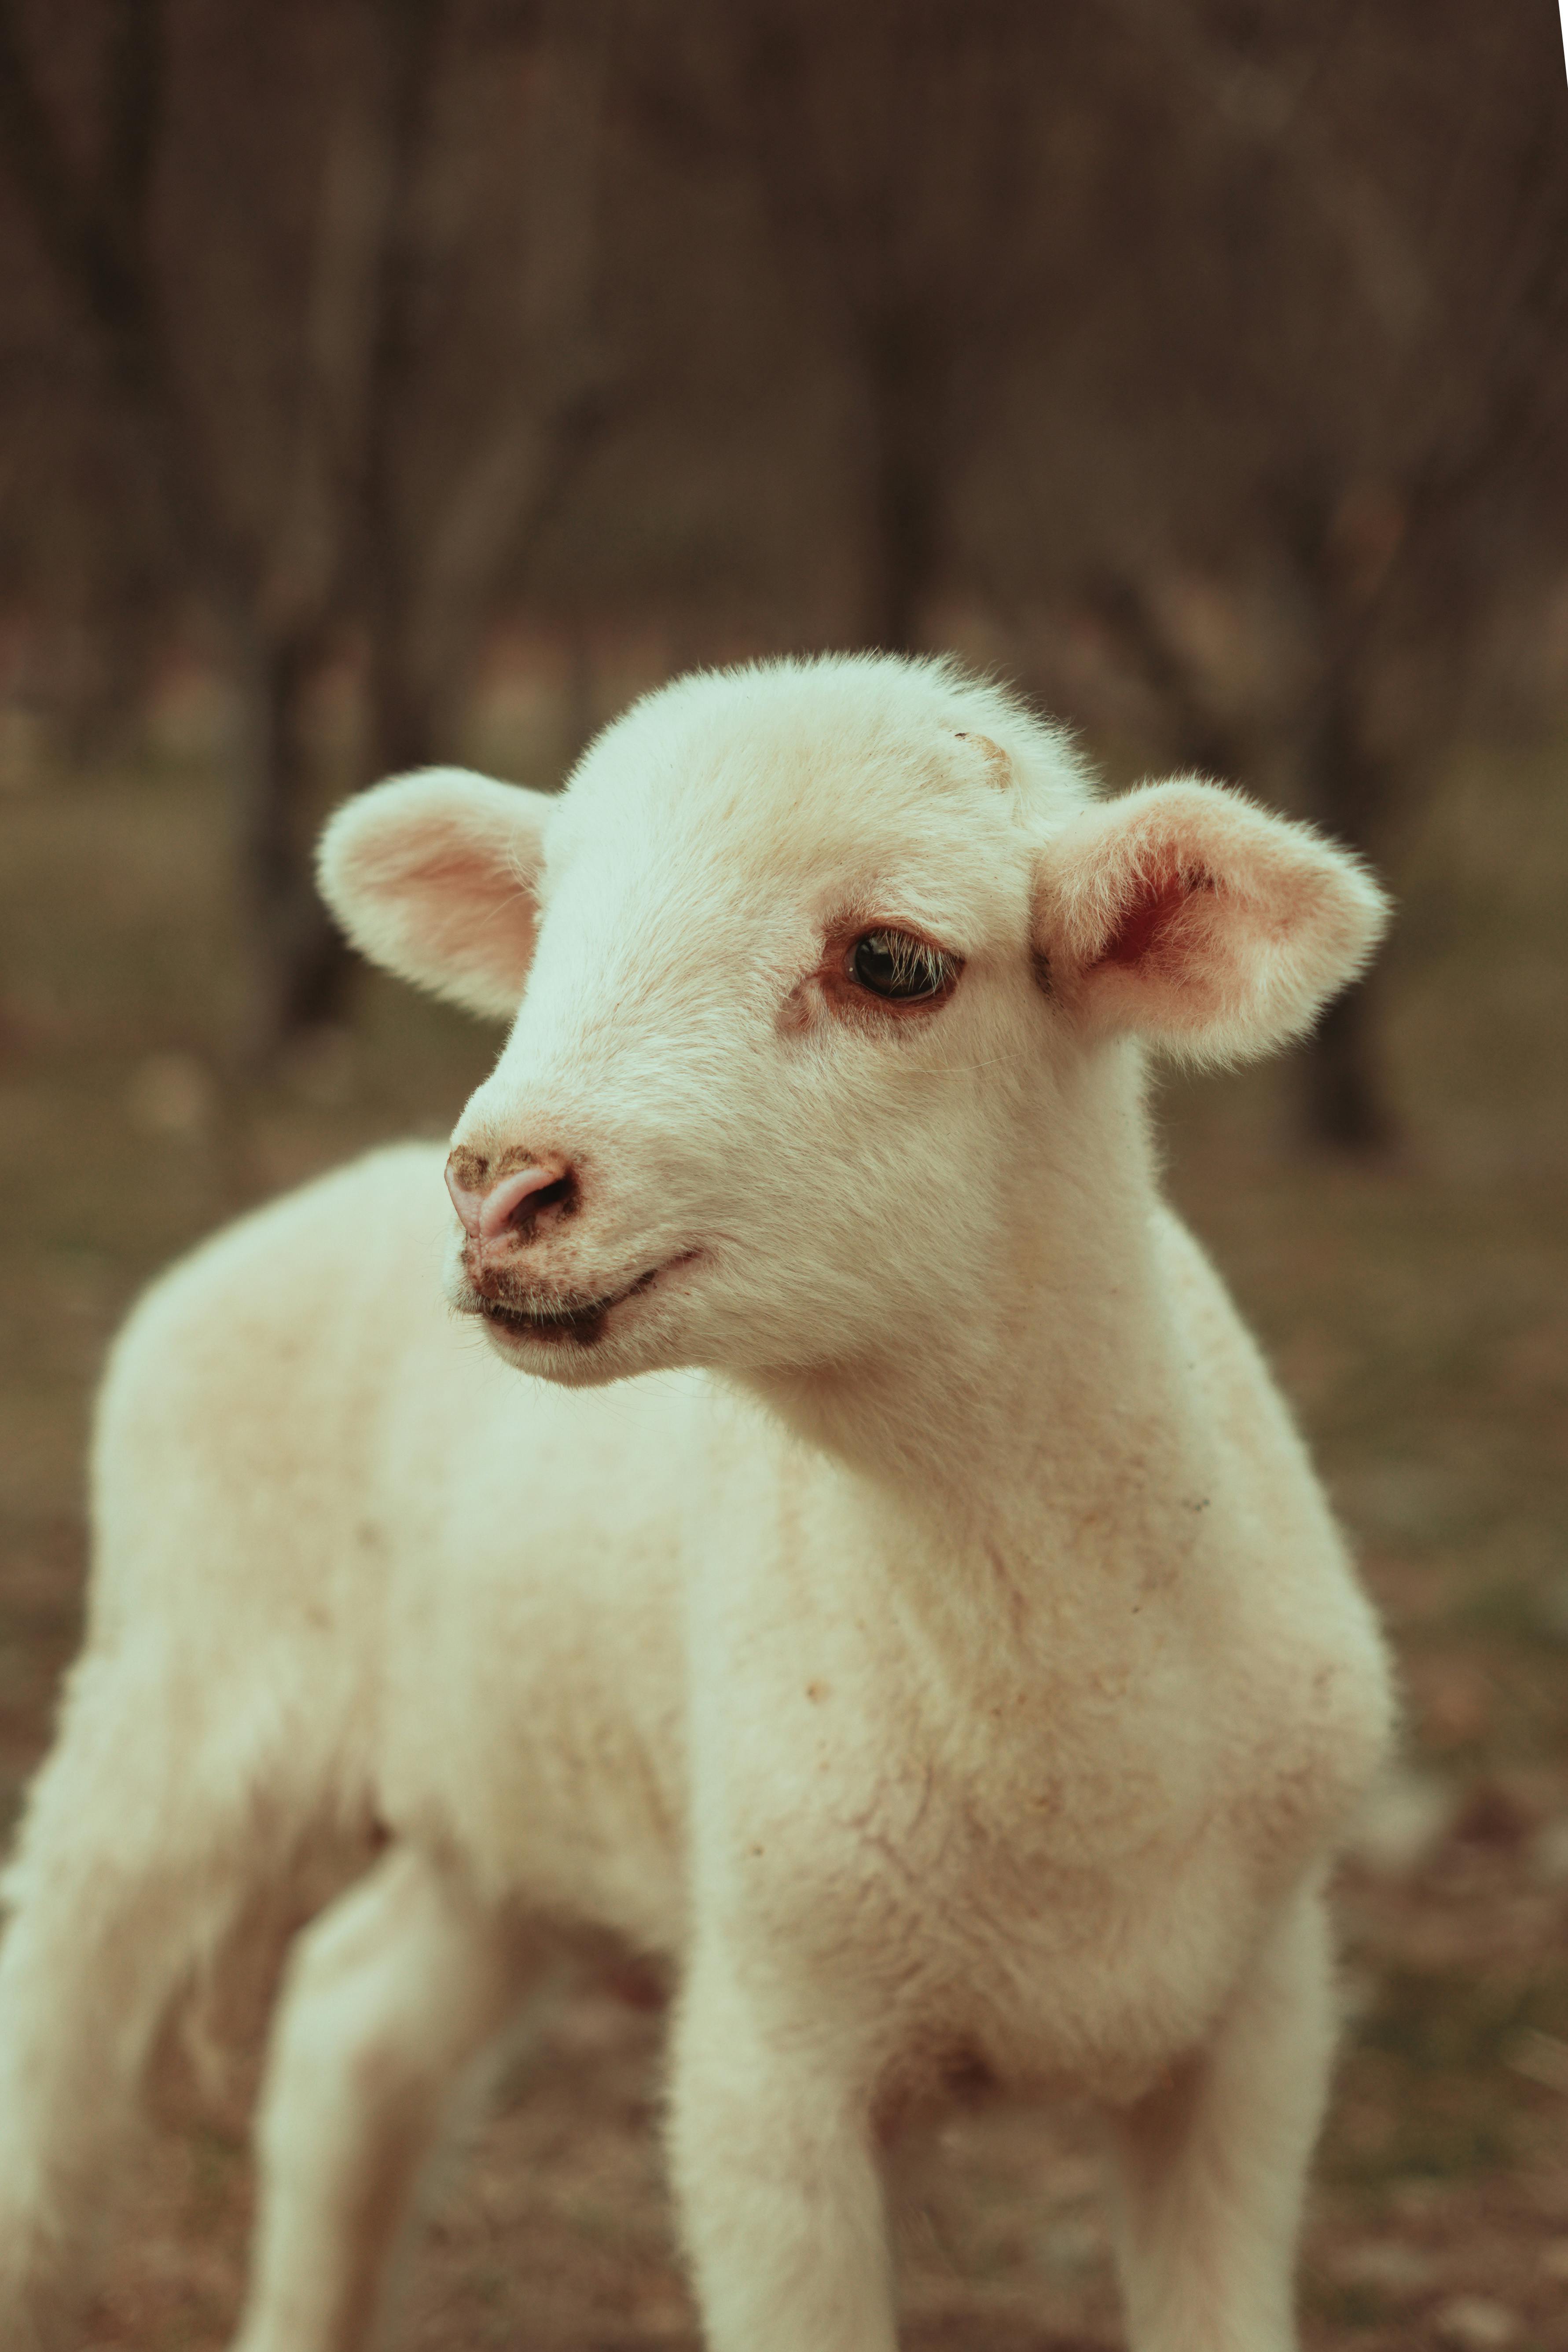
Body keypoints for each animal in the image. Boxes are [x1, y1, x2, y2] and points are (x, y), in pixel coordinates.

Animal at [0, 652, 1393, 2352]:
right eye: (552, 922)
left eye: (892, 963)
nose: (500, 1187)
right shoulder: (769, 2049)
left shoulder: (1258, 2022)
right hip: (169, 1695)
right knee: (55, 2062)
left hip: (502, 1785)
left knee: (350, 2023)